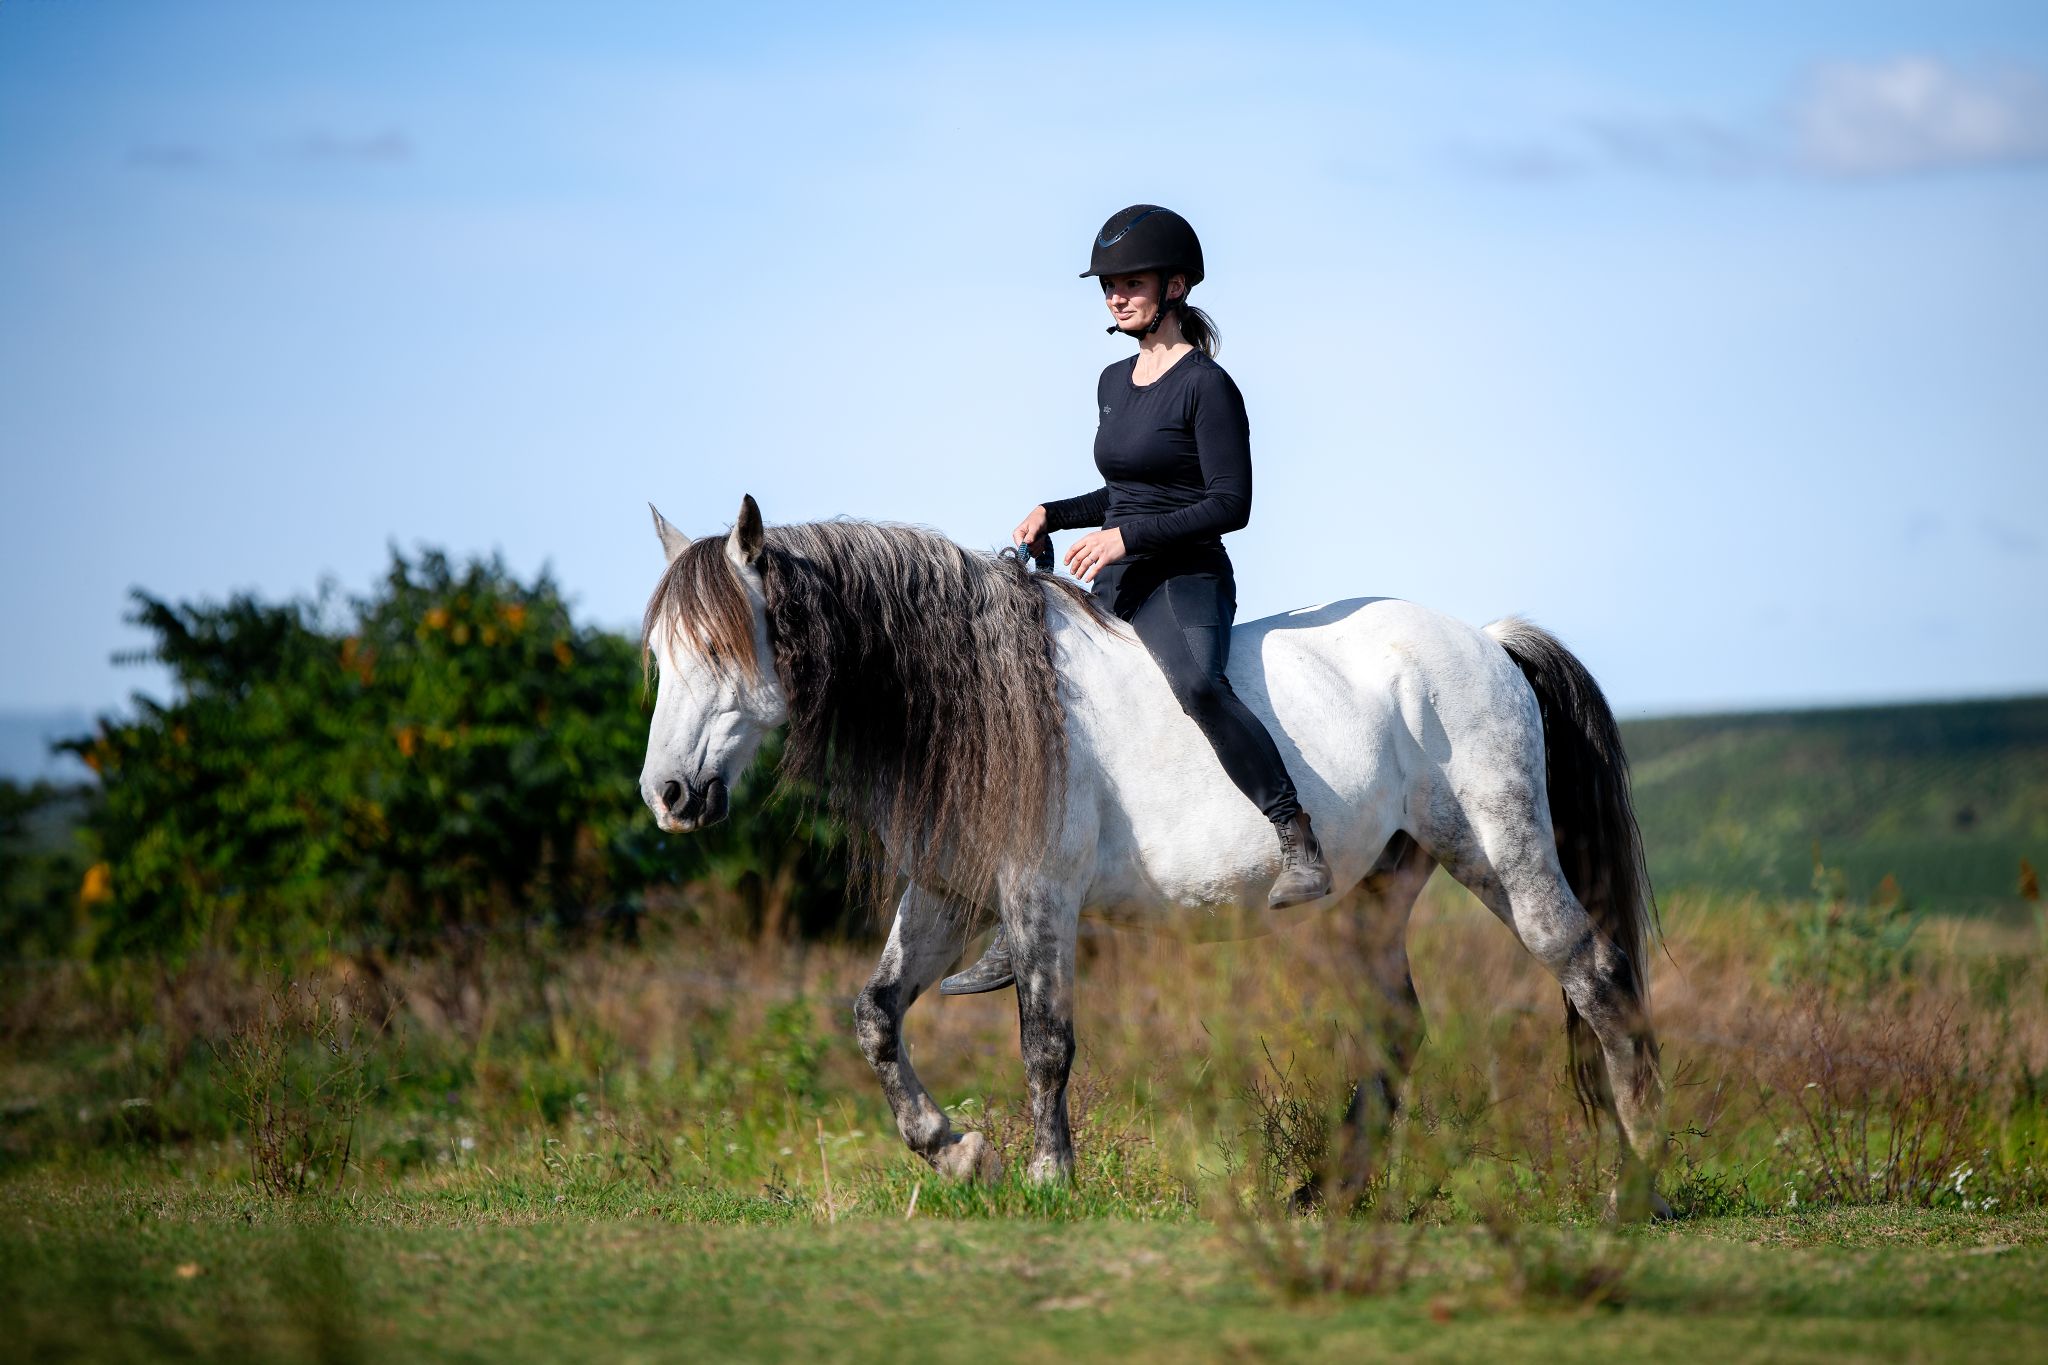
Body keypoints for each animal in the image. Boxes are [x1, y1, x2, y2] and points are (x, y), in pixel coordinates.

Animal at [638, 495, 1667, 1217]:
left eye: (724, 647)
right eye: (660, 652)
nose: (669, 795)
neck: (985, 699)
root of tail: (1488, 643)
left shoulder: (1039, 894)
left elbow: (1046, 1042)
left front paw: (1050, 1178)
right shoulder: (945, 895)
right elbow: (876, 1015)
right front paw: (957, 1149)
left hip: (1501, 853)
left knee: (1595, 976)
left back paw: (1641, 1181)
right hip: (1382, 890)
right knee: (1401, 1030)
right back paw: (1328, 1192)